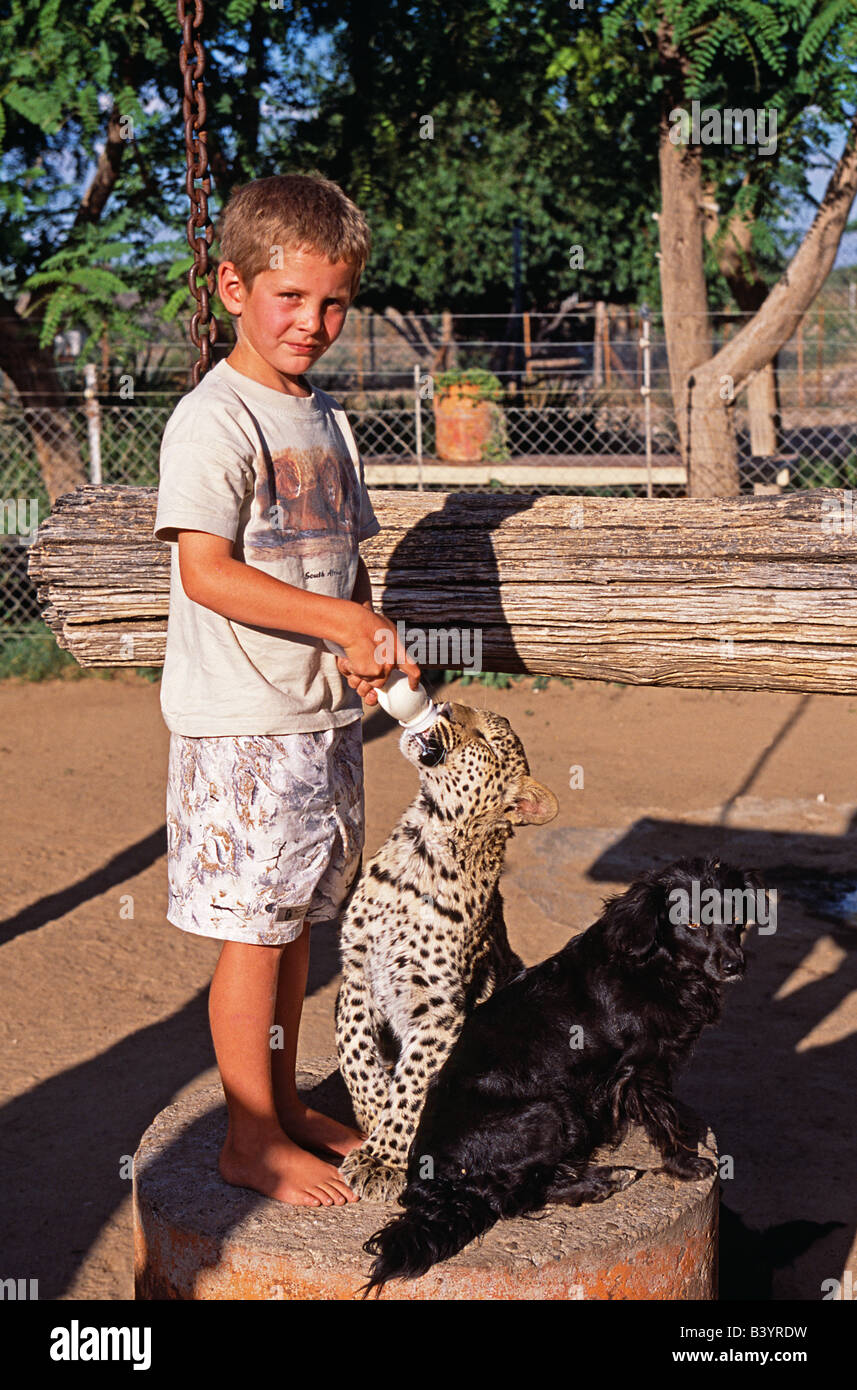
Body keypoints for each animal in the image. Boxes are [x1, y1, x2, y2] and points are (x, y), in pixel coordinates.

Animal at [336, 698, 559, 1202]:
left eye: (489, 740)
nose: (443, 704)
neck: (422, 844)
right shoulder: (356, 969)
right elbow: (352, 1047)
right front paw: (371, 1108)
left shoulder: (440, 1008)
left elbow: (414, 1082)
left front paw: (382, 1158)